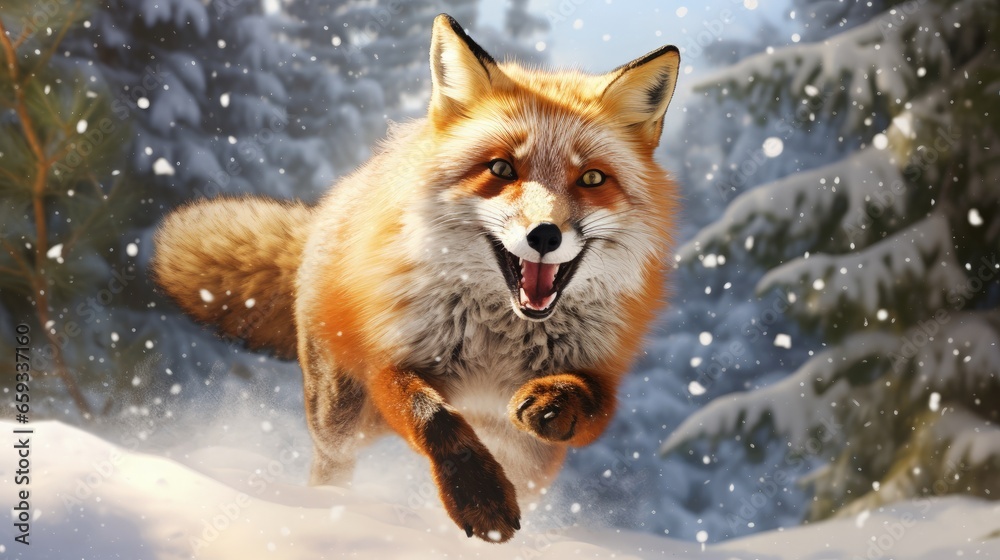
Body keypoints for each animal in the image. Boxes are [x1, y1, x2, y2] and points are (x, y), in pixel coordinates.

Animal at [153, 14, 679, 543]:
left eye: (591, 179)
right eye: (501, 168)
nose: (545, 235)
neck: (497, 343)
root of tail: (332, 204)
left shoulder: (597, 384)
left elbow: (589, 400)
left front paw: (554, 403)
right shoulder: (392, 363)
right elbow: (435, 419)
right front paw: (479, 498)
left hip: (526, 461)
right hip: (342, 415)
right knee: (333, 461)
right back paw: (325, 509)